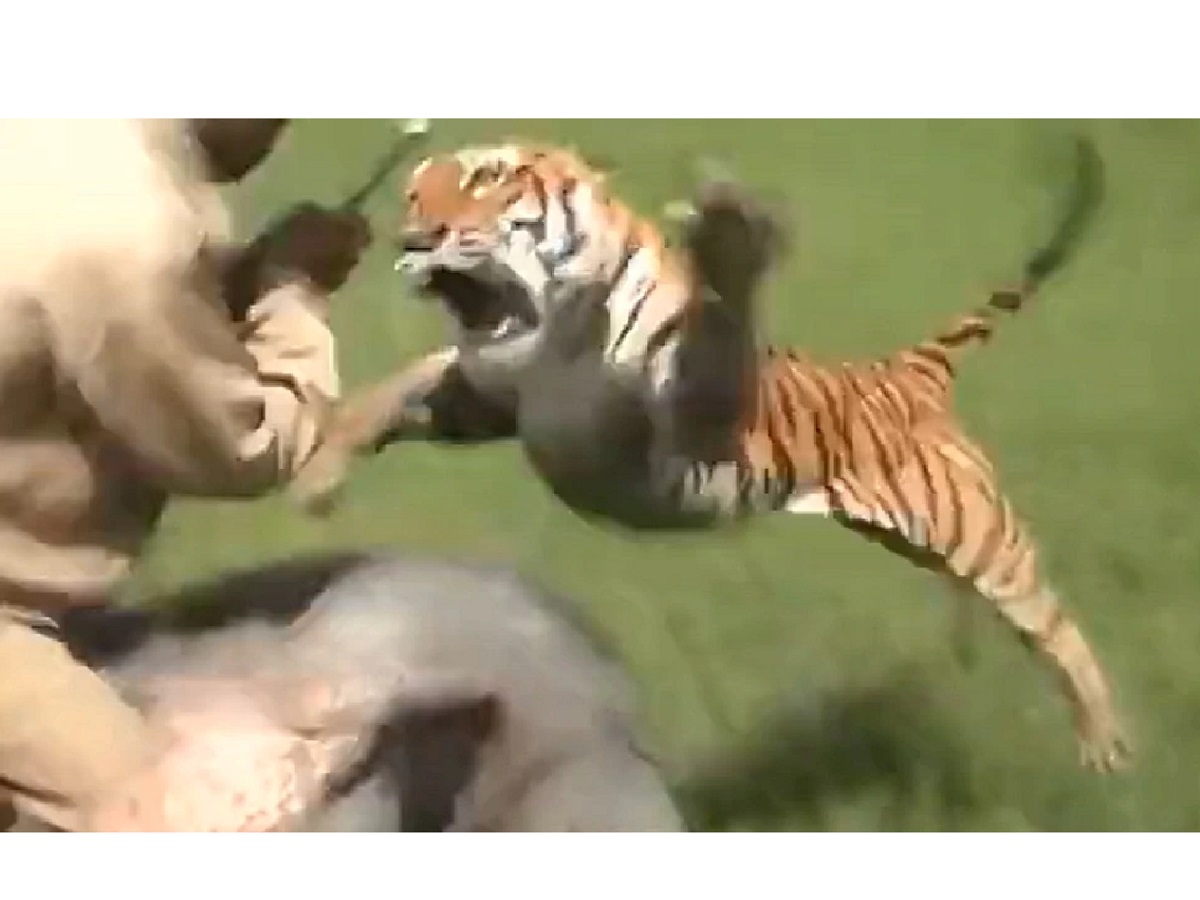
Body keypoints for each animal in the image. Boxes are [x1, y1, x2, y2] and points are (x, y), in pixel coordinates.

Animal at [291, 134, 1130, 773]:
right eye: (413, 193)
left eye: (486, 179)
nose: (414, 241)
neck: (552, 336)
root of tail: (904, 370)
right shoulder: (489, 395)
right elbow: (391, 392)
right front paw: (318, 475)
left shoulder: (686, 424)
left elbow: (710, 337)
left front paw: (728, 236)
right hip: (922, 537)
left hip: (980, 537)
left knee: (1054, 627)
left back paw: (1107, 746)